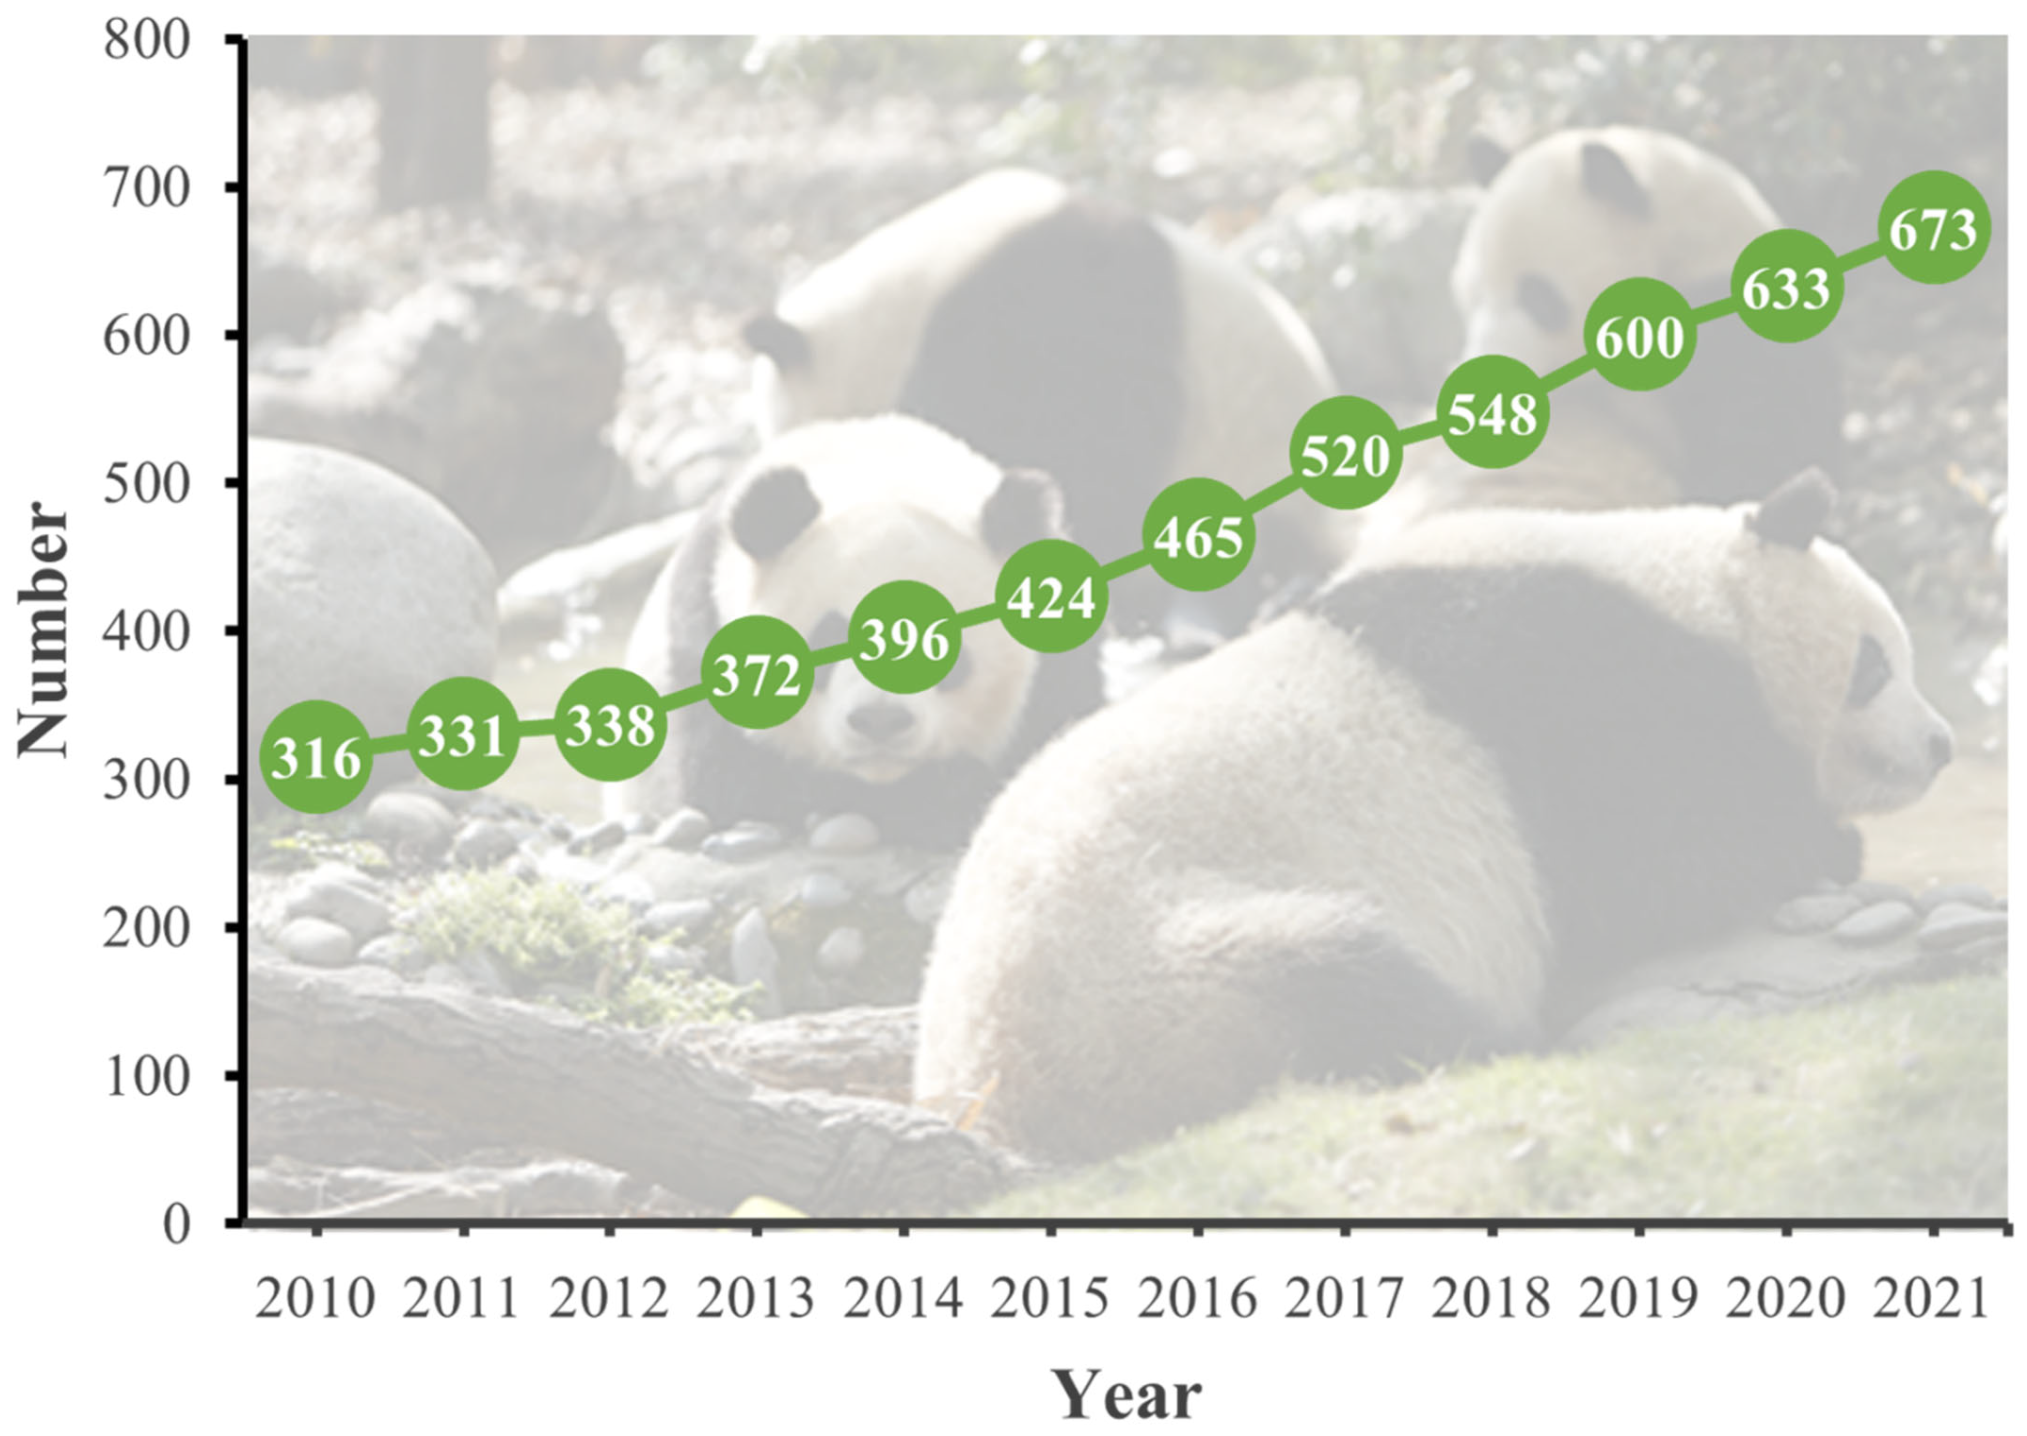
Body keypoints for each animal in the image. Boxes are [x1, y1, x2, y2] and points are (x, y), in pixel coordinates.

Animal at [913, 472, 1953, 1161]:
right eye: (1874, 664)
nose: (1941, 744)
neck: (1681, 593)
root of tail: (999, 1098)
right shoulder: (1576, 700)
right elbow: (1651, 865)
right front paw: (1822, 843)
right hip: (1164, 975)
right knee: (1354, 985)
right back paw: (1499, 1038)